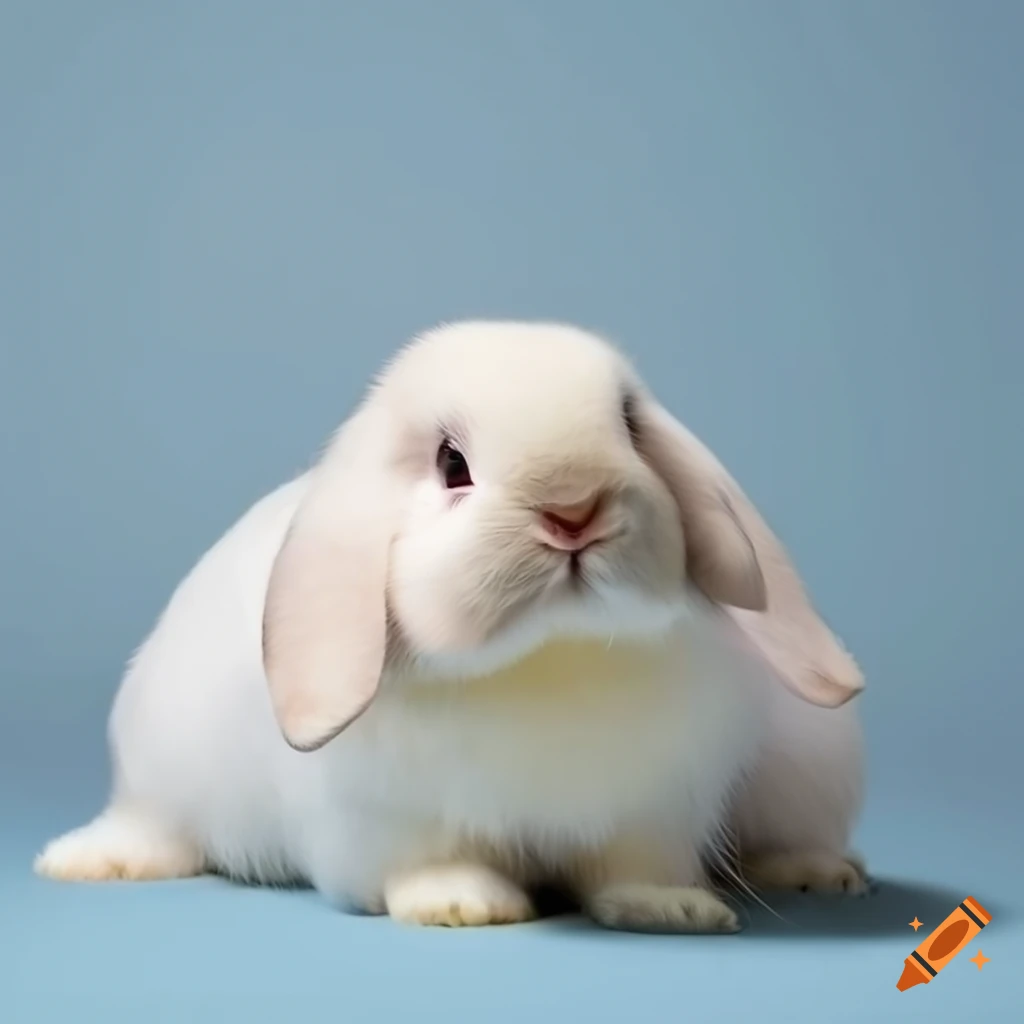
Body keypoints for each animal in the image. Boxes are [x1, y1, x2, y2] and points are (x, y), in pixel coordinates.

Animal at [35, 321, 867, 931]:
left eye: (630, 429)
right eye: (451, 465)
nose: (574, 511)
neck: (555, 654)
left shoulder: (655, 813)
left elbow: (637, 870)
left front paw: (677, 911)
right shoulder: (392, 824)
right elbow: (427, 865)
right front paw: (465, 905)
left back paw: (823, 875)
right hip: (158, 787)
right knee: (155, 833)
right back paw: (82, 861)